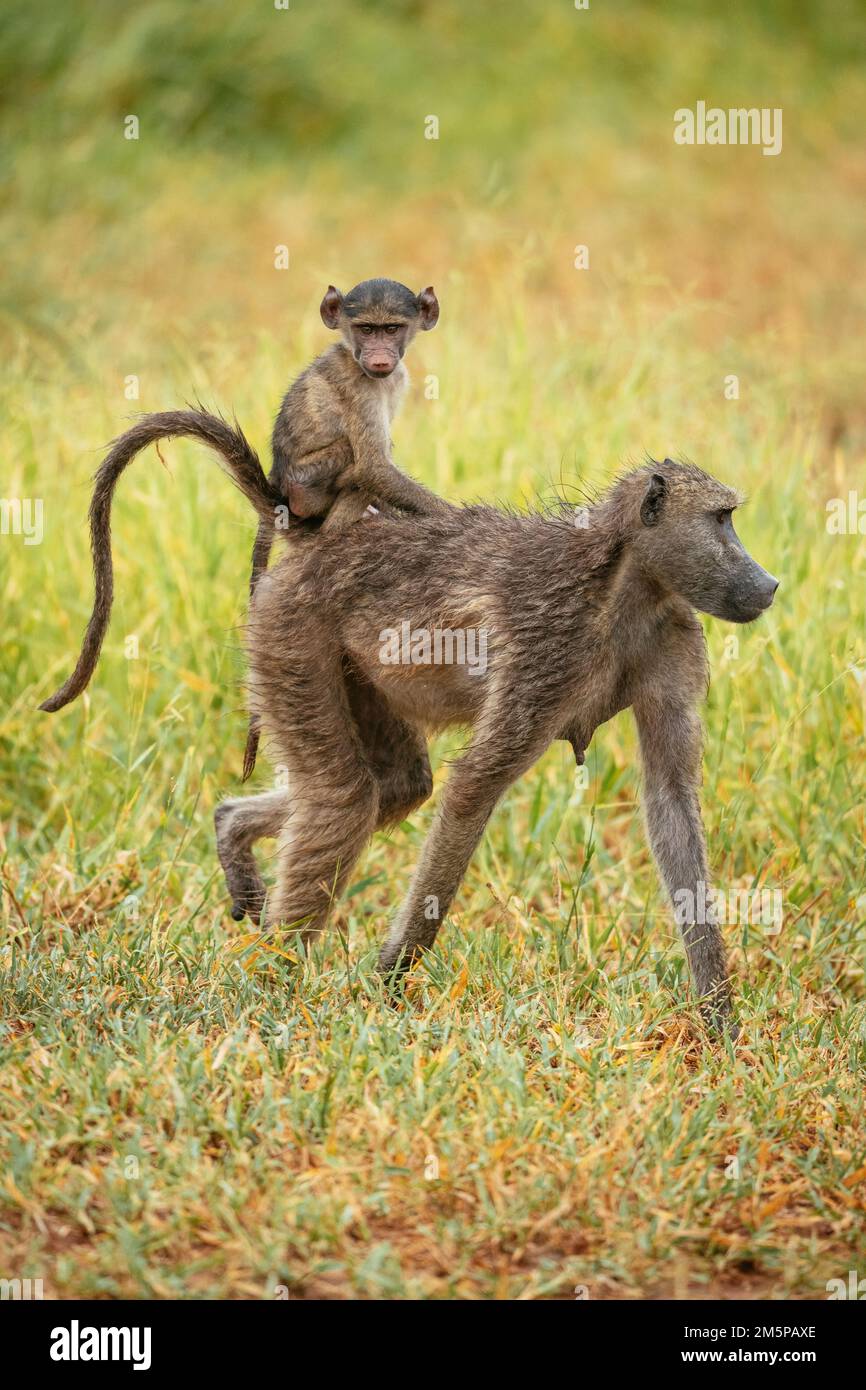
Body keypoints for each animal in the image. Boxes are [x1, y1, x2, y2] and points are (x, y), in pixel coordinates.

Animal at [241, 277, 450, 781]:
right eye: (366, 329)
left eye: (391, 328)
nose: (379, 356)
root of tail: (281, 488)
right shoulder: (360, 388)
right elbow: (374, 466)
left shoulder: (396, 379)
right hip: (308, 485)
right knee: (355, 467)